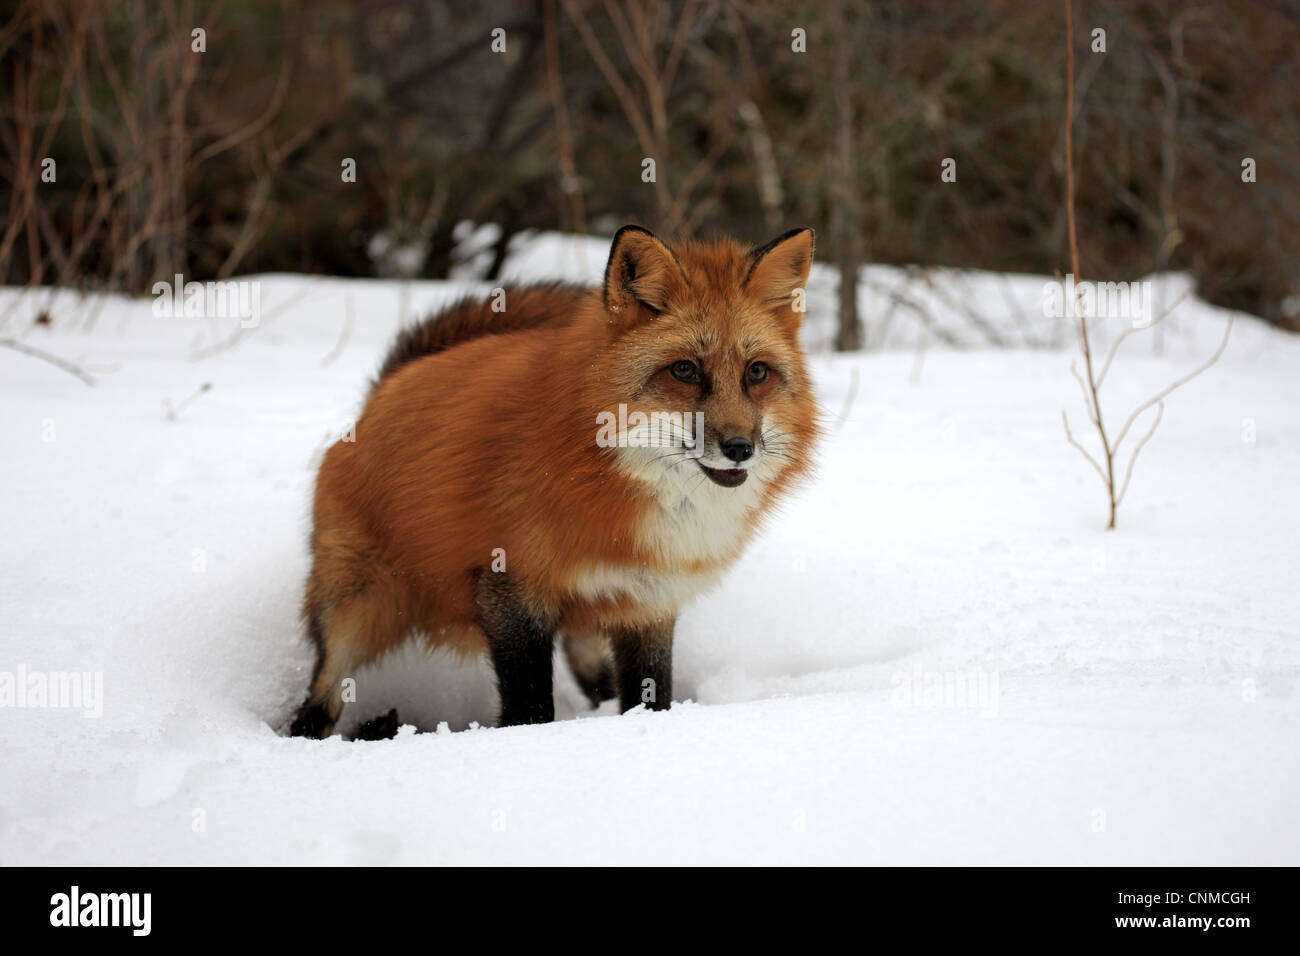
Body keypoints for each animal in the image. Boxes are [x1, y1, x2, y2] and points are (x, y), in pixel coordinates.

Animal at [289, 225, 819, 738]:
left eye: (756, 373)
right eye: (685, 370)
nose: (739, 448)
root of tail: (387, 386)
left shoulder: (649, 601)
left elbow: (653, 695)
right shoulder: (511, 586)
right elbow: (530, 707)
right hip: (356, 610)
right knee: (318, 701)